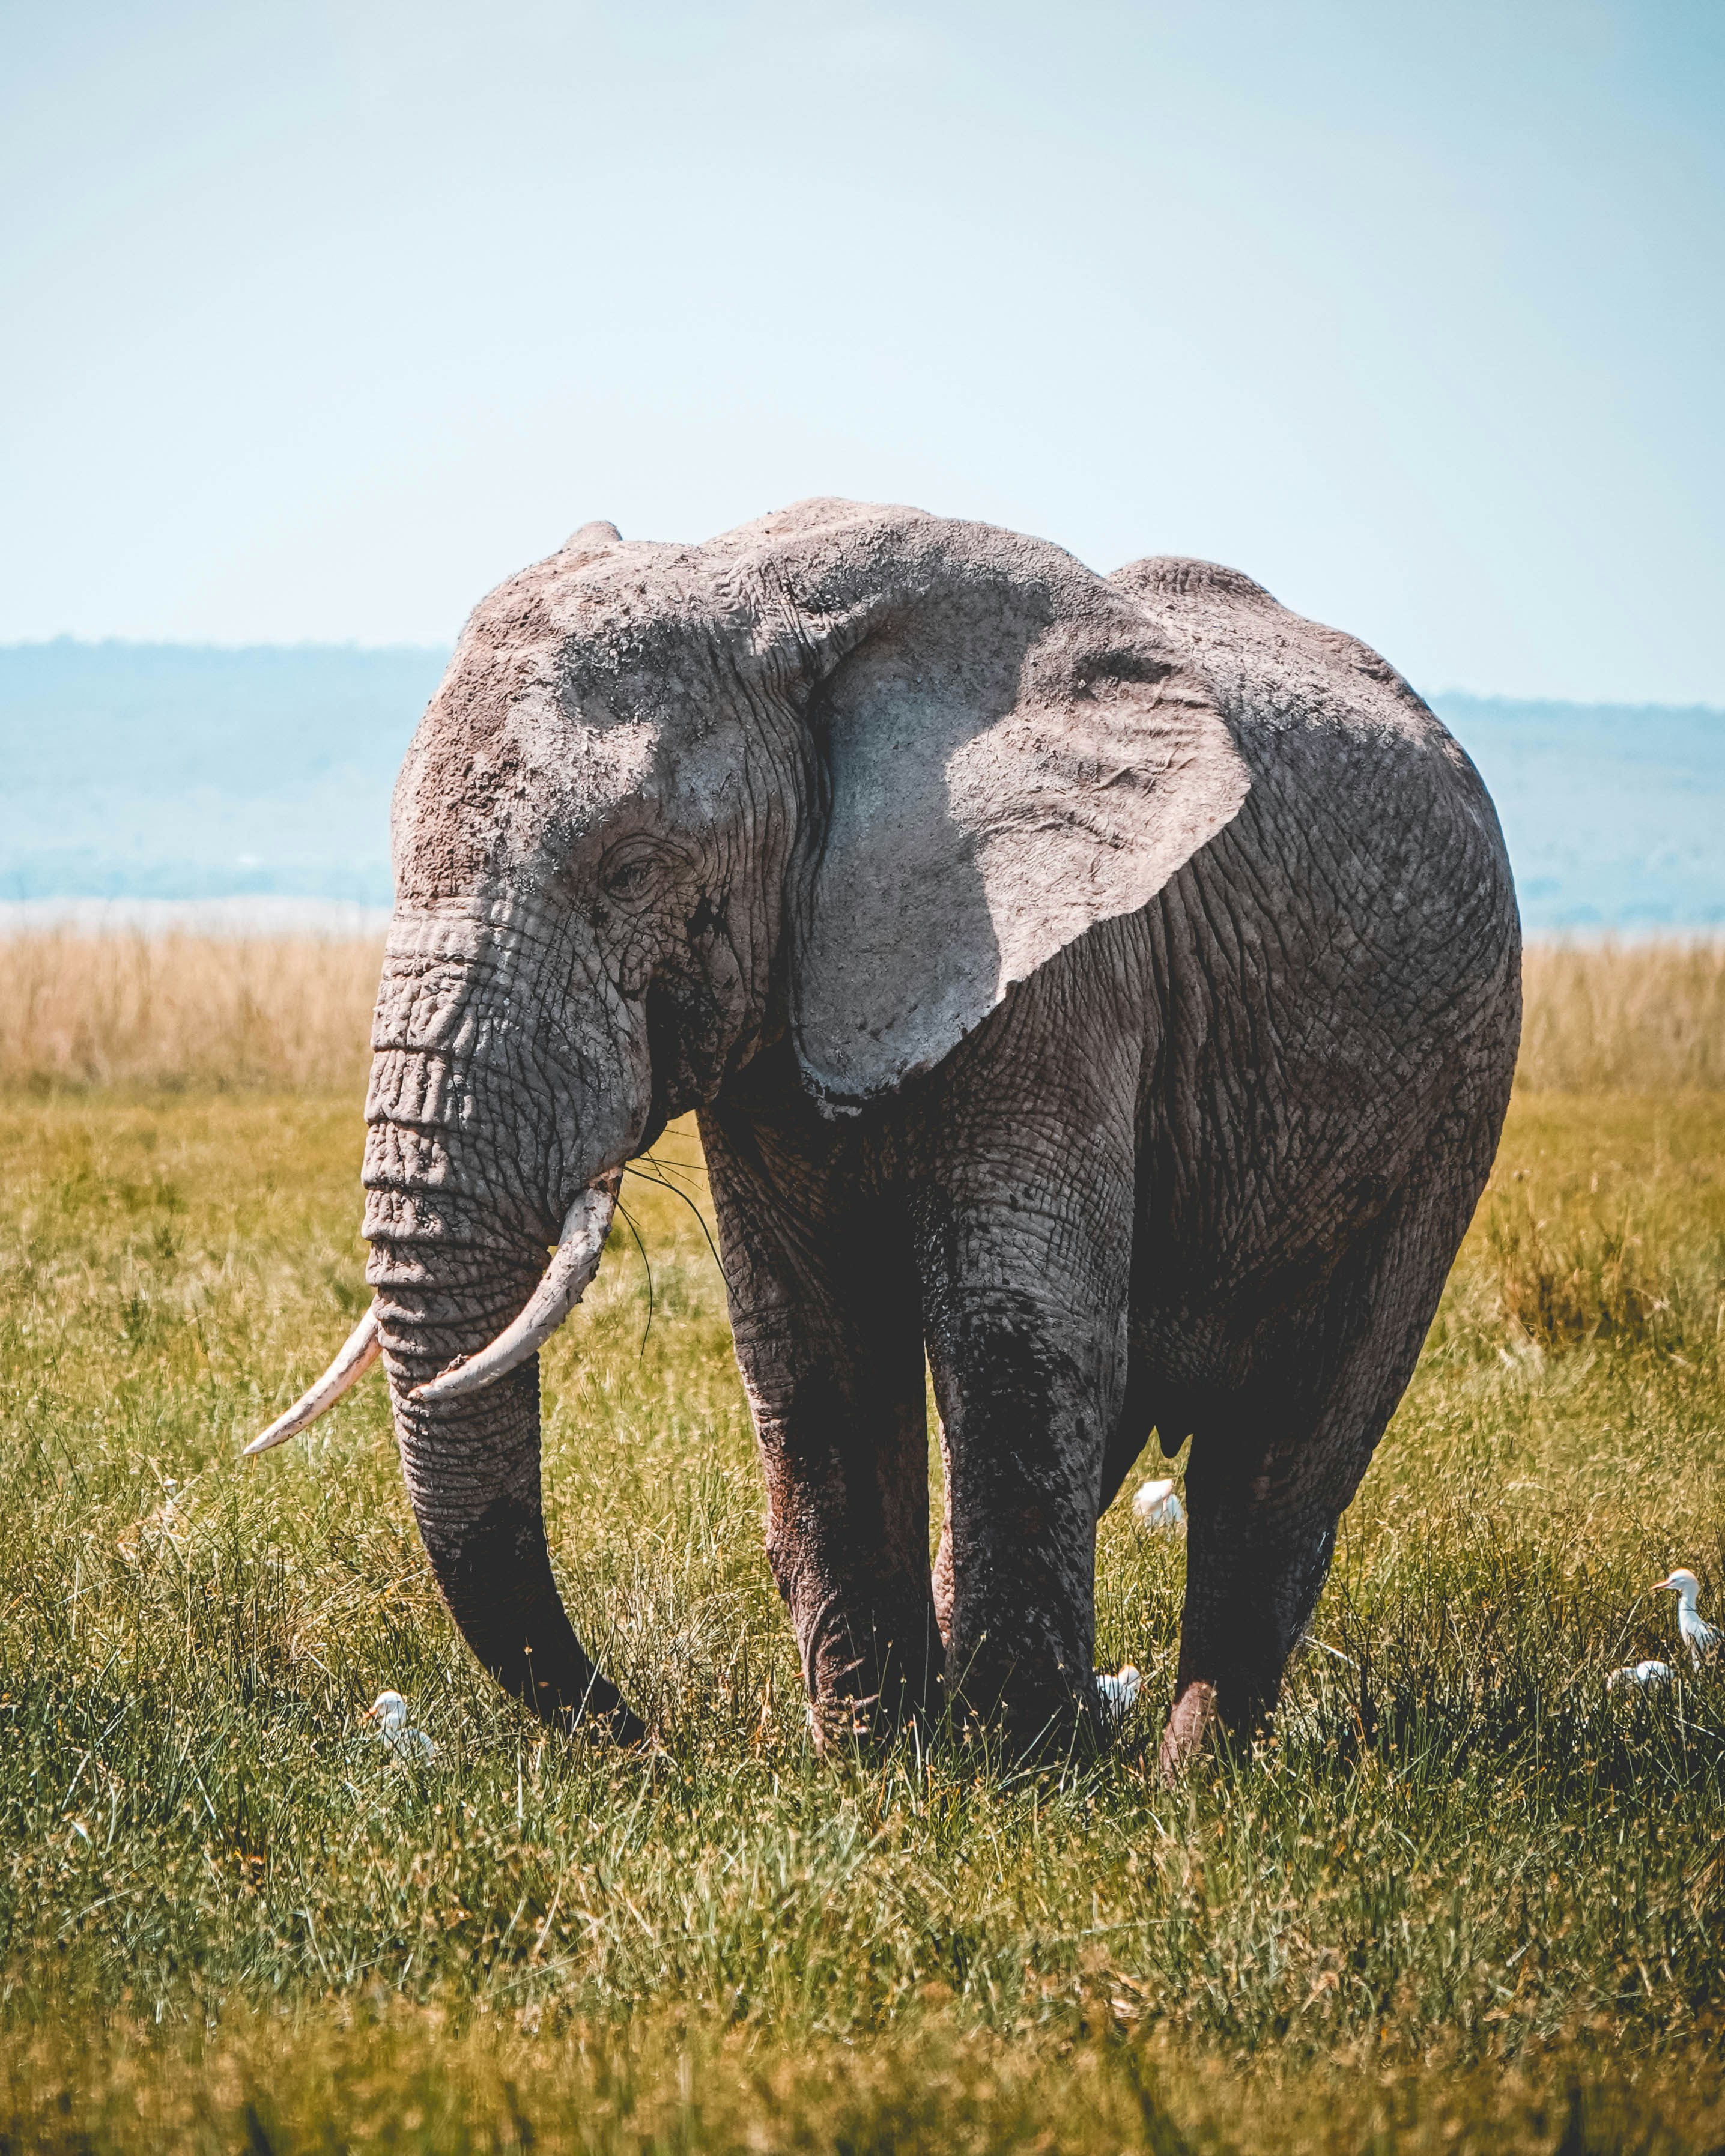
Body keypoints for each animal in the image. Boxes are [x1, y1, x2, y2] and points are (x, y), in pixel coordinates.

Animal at [249, 498, 1520, 1774]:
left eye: (630, 871)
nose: (644, 1736)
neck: (769, 592)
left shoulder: (1066, 974)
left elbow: (1015, 1331)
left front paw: (1021, 1775)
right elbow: (807, 1341)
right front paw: (877, 1760)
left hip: (1457, 1088)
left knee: (1288, 1451)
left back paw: (1183, 1782)